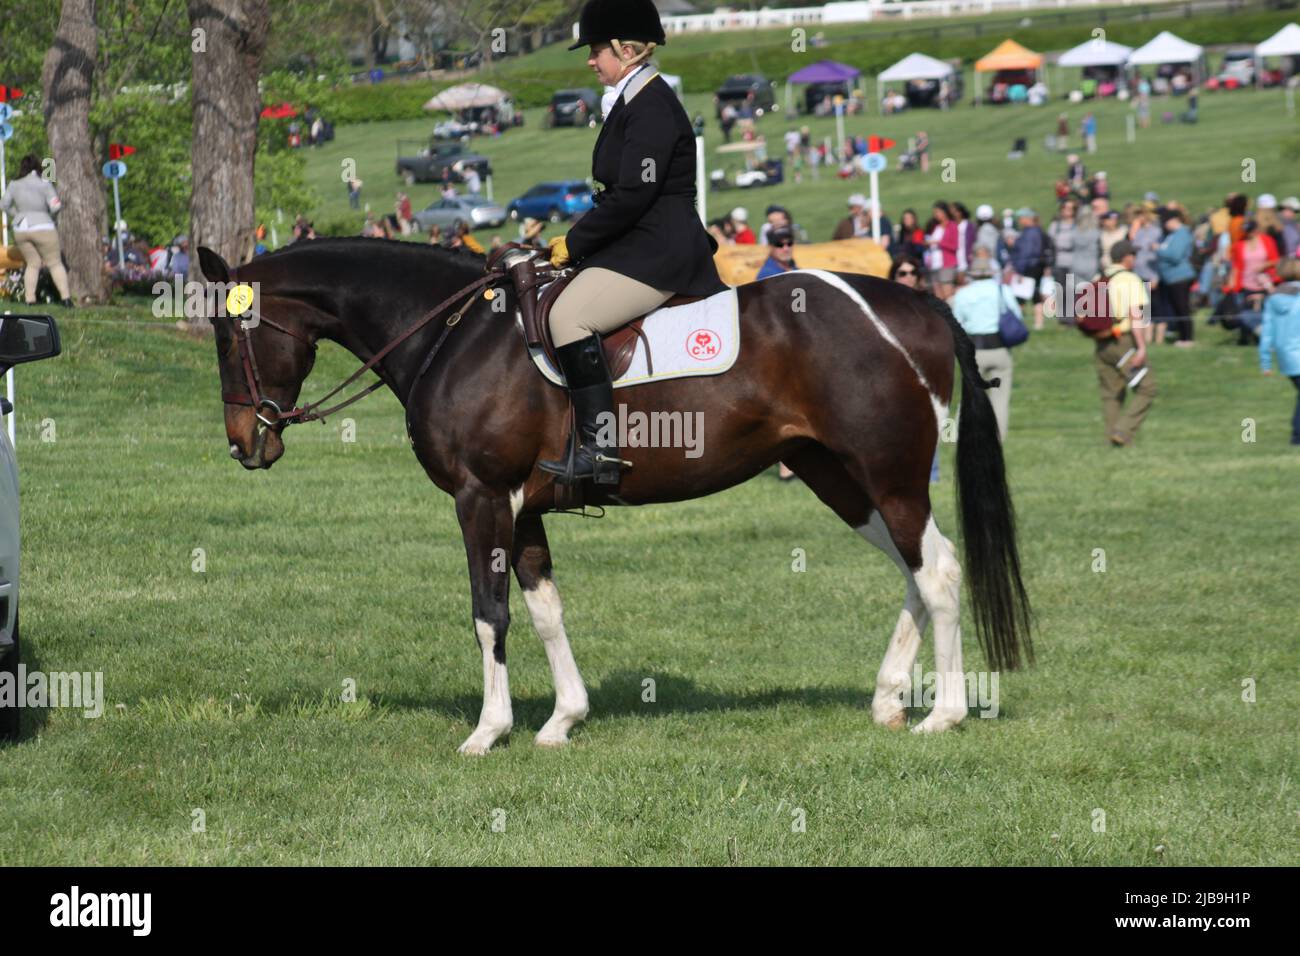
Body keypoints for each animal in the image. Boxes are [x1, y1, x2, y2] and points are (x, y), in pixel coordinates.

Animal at [199, 237, 1032, 754]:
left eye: (227, 335)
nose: (244, 443)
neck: (457, 336)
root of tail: (920, 307)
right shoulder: (524, 508)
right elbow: (544, 610)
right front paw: (563, 720)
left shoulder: (481, 497)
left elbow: (489, 613)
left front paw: (488, 731)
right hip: (840, 478)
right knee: (914, 572)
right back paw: (890, 698)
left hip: (889, 474)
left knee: (938, 571)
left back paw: (944, 714)